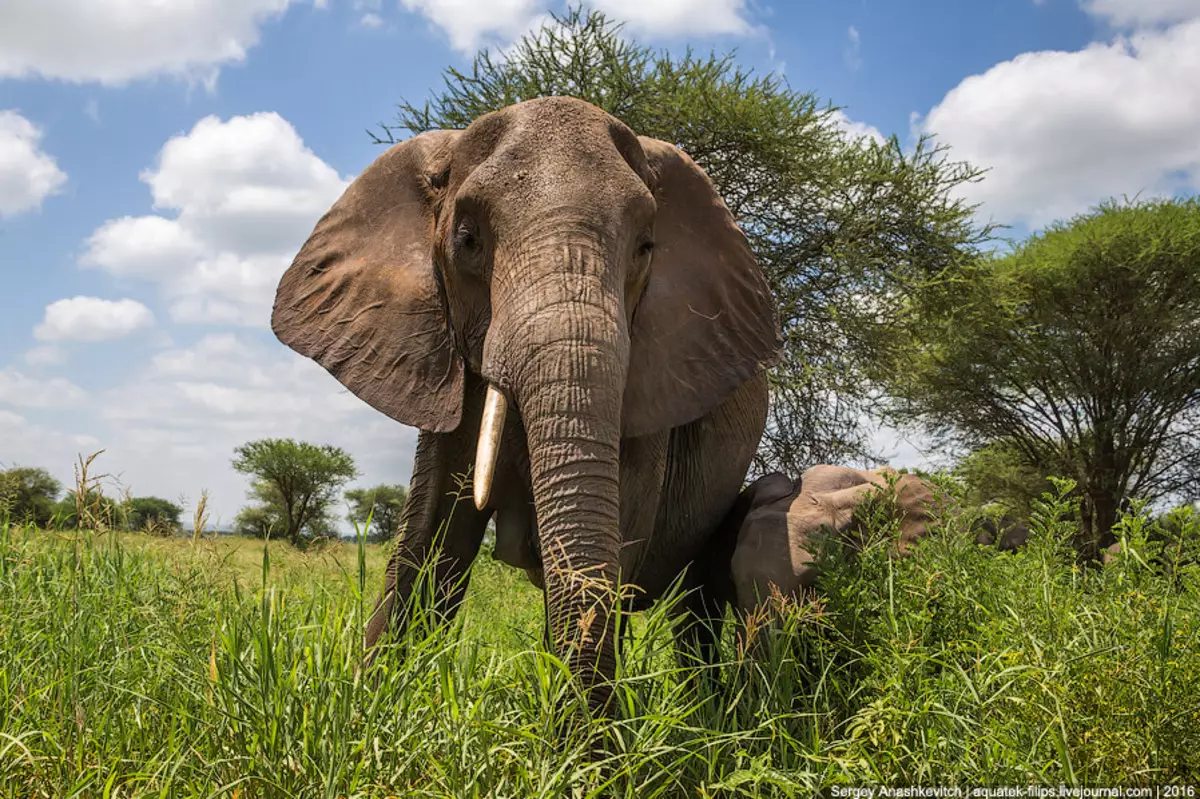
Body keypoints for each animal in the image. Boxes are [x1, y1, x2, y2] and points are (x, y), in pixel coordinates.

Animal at [268, 96, 782, 705]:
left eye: (646, 247)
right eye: (468, 239)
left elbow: (614, 539)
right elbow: (433, 535)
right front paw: (371, 705)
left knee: (693, 606)